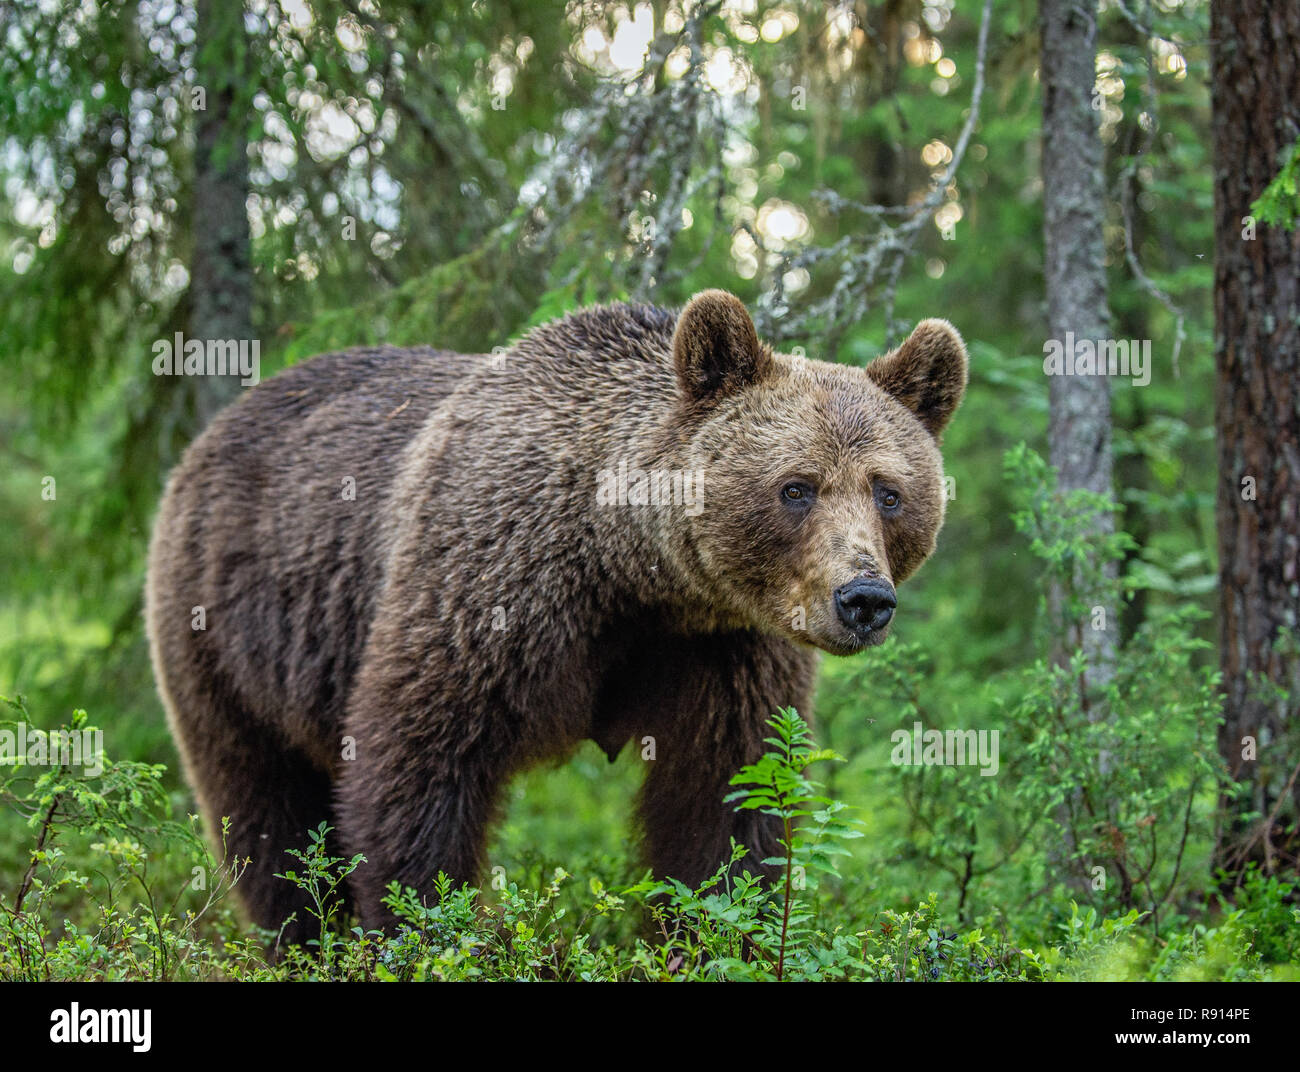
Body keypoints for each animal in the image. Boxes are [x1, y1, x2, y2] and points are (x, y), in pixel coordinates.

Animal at [145, 290, 967, 940]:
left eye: (889, 492)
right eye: (796, 487)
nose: (863, 599)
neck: (631, 574)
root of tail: (205, 440)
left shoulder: (724, 646)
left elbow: (727, 799)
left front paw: (716, 931)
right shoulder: (492, 590)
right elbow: (417, 767)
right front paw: (426, 928)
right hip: (229, 631)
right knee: (263, 814)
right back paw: (302, 938)